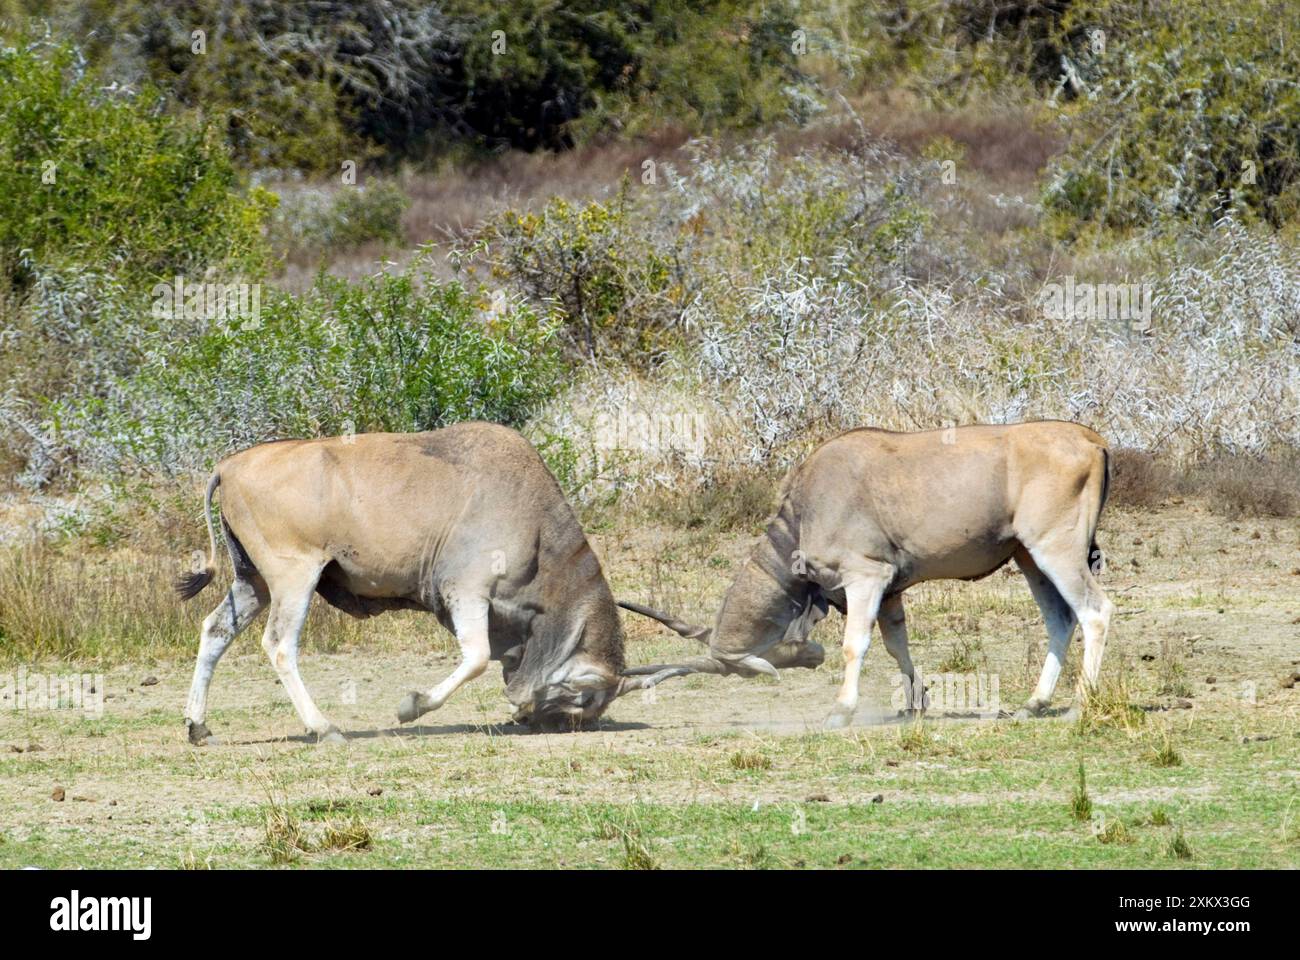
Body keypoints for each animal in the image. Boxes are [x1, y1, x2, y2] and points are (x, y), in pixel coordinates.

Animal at [176, 422, 688, 744]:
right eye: (587, 696)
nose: (545, 723)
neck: (536, 522)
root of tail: (229, 466)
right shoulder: (466, 591)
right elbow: (477, 657)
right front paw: (411, 706)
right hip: (294, 577)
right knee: (280, 645)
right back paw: (325, 728)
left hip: (254, 582)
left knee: (214, 630)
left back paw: (198, 727)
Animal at [620, 421, 1114, 727]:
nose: (811, 659)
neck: (806, 507)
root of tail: (1092, 439)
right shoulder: (890, 590)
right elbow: (898, 645)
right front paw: (915, 705)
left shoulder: (866, 578)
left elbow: (854, 644)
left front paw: (841, 710)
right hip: (1027, 557)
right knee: (1060, 618)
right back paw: (1035, 703)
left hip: (1055, 549)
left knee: (1094, 610)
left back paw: (1080, 705)